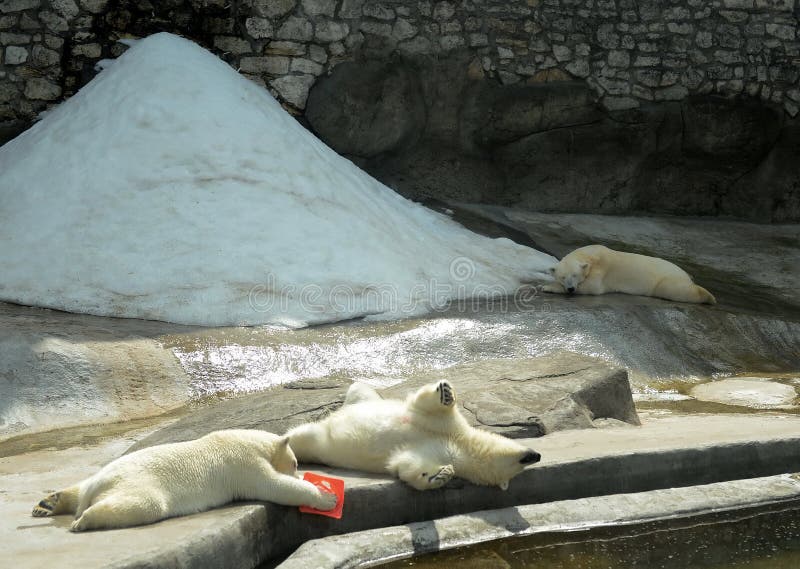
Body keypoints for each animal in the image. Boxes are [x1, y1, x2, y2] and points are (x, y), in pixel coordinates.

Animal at [31, 429, 337, 532]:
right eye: (295, 463)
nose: (300, 471)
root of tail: (99, 484)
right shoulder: (244, 464)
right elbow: (275, 486)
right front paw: (327, 496)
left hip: (99, 477)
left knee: (80, 486)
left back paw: (48, 503)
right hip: (137, 482)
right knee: (144, 504)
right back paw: (83, 520)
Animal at [287, 380, 541, 491]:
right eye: (524, 460)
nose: (536, 454)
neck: (462, 442)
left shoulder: (442, 450)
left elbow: (407, 465)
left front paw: (440, 475)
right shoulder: (447, 424)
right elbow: (429, 406)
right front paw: (446, 393)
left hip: (320, 441)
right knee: (361, 390)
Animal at [543, 245, 716, 305]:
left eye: (575, 275)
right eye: (563, 277)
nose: (570, 289)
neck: (591, 255)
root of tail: (685, 273)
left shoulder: (602, 270)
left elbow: (593, 287)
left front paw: (547, 287)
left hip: (666, 279)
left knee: (675, 290)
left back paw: (710, 298)